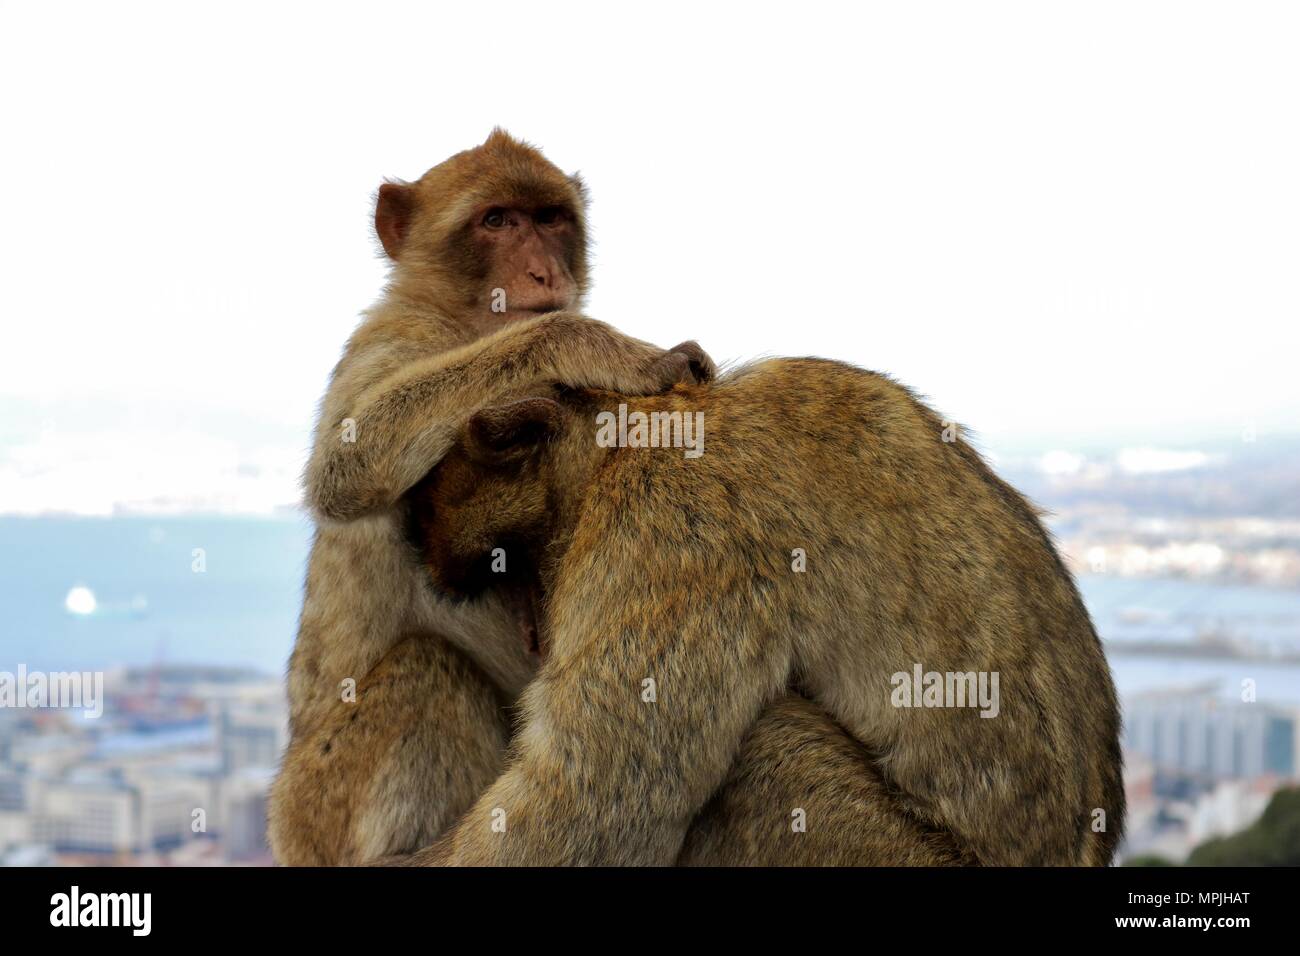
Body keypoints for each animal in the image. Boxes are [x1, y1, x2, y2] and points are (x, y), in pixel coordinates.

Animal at [268, 130, 715, 865]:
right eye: (496, 221)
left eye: (550, 219)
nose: (544, 274)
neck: (467, 324)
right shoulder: (387, 342)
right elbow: (345, 466)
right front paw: (591, 346)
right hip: (318, 803)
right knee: (429, 667)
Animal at [402, 358, 1126, 866]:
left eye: (509, 569)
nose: (533, 631)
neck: (634, 437)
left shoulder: (664, 529)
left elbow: (588, 809)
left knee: (765, 745)